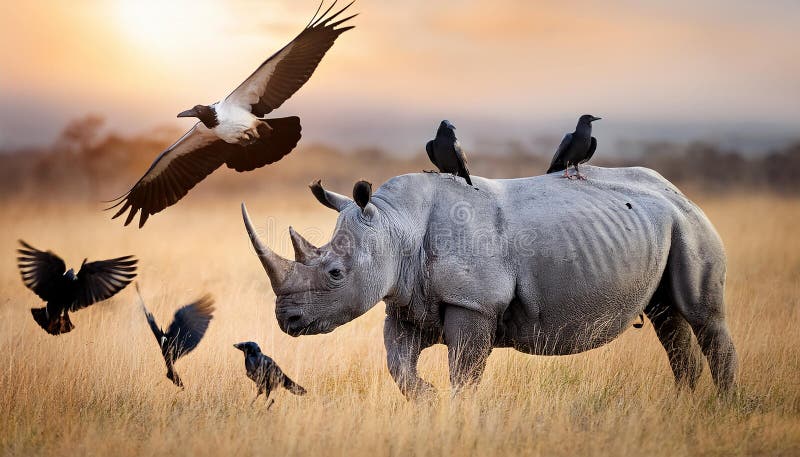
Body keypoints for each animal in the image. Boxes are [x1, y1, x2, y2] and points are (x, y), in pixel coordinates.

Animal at [241, 166, 737, 399]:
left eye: (335, 274)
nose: (287, 321)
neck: (394, 224)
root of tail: (679, 192)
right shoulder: (406, 300)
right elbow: (398, 365)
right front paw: (428, 399)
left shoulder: (474, 303)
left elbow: (465, 372)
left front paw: (454, 411)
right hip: (665, 227)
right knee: (667, 319)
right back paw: (684, 403)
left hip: (690, 224)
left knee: (702, 317)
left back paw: (724, 406)